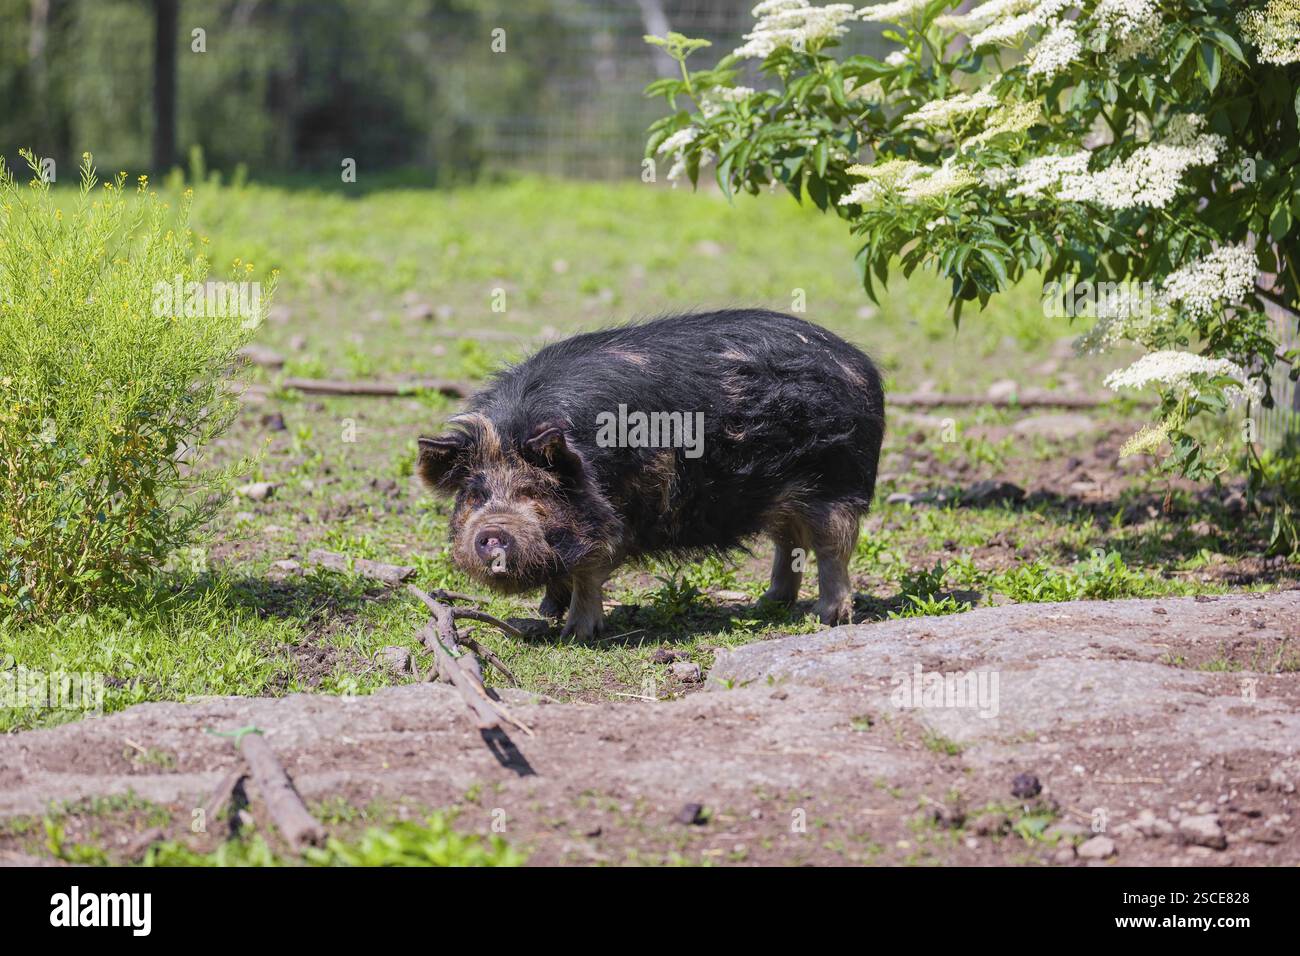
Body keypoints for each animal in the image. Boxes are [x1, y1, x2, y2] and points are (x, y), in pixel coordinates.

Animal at [417, 309, 885, 639]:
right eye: (474, 494)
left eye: (536, 492)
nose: (493, 532)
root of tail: (861, 364)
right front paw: (546, 611)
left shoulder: (616, 520)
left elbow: (589, 573)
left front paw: (576, 634)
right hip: (781, 496)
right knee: (789, 541)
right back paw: (765, 605)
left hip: (838, 484)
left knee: (832, 547)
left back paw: (827, 618)